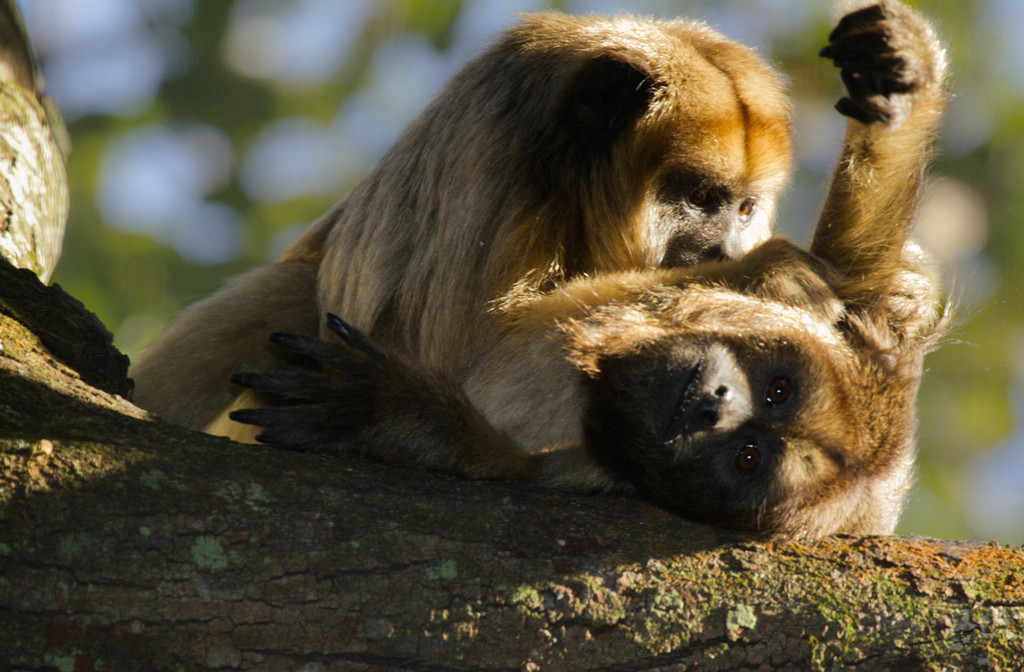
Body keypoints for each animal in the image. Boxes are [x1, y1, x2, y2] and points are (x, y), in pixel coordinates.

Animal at [127, 11, 794, 434]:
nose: (726, 250)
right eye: (700, 198)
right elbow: (480, 369)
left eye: (744, 208)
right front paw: (772, 273)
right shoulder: (496, 157)